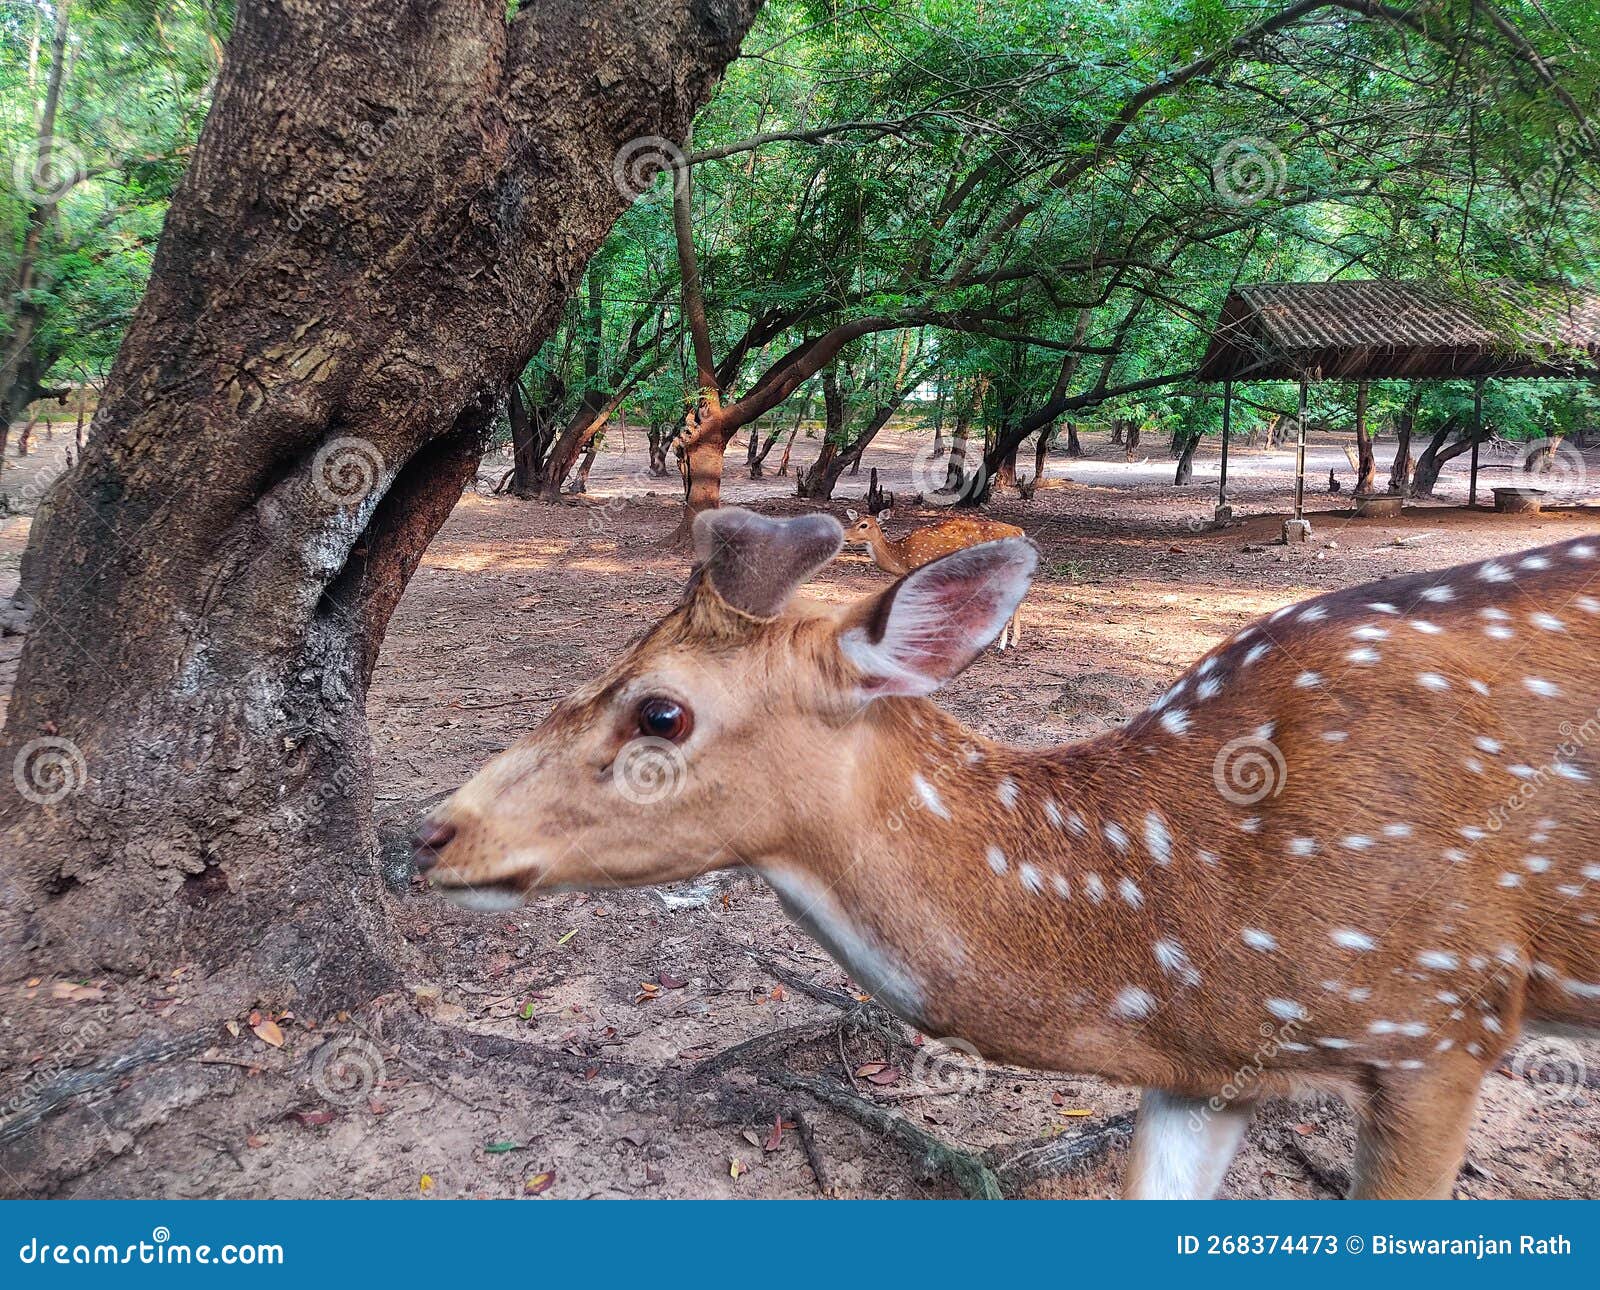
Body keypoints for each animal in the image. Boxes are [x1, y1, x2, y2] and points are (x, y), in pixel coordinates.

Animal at [844, 508, 1027, 649]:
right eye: (853, 521)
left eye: (864, 525)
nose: (845, 536)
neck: (902, 558)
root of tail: (1019, 531)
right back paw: (1012, 641)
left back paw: (1002, 644)